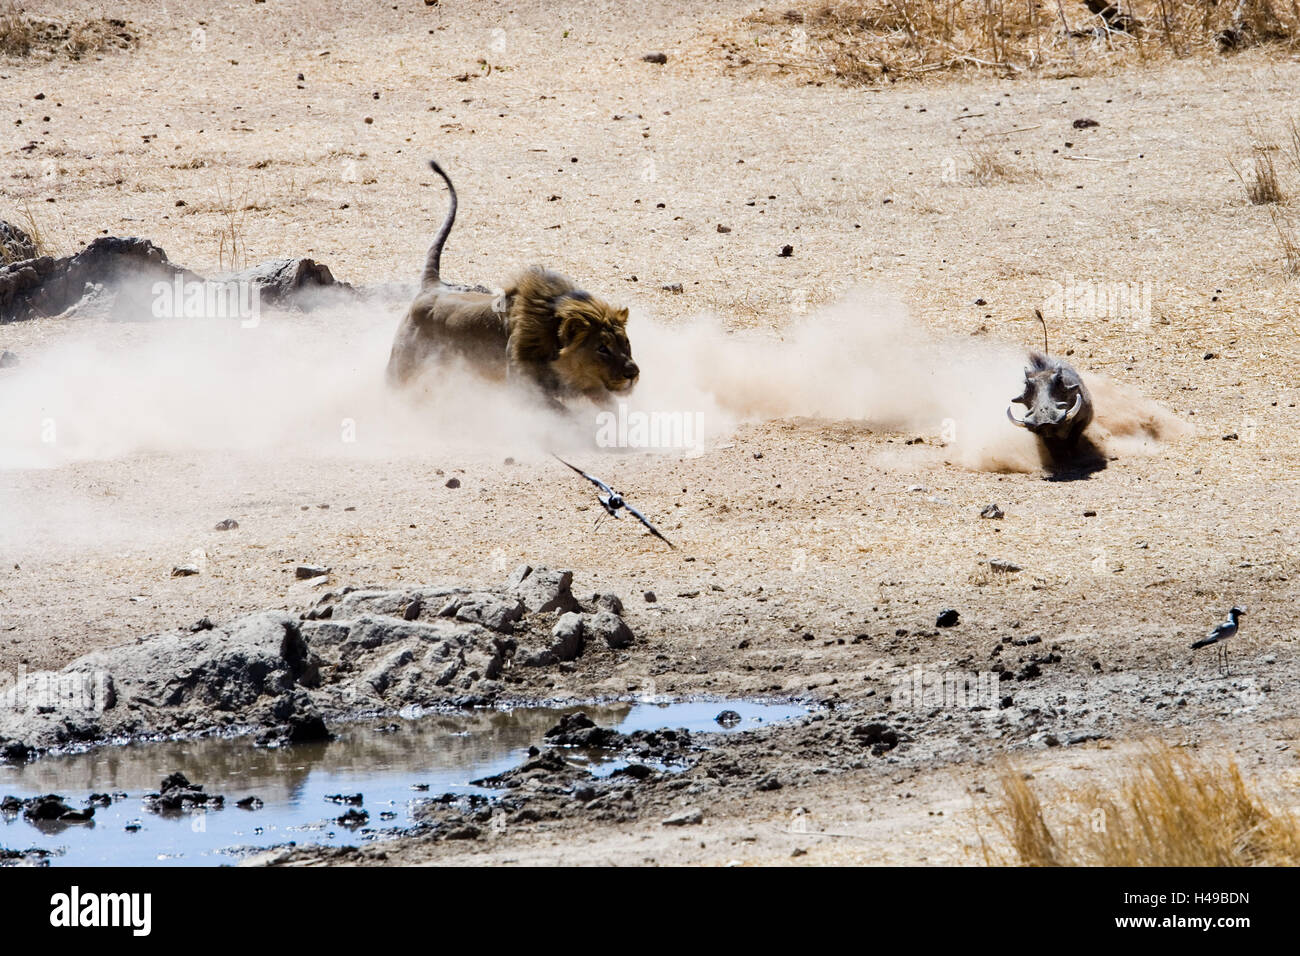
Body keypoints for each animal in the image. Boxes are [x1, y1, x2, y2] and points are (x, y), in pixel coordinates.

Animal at [386, 160, 639, 410]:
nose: (633, 373)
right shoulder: (524, 389)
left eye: (626, 343)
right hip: (401, 368)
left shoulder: (592, 390)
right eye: (602, 348)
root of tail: (433, 287)